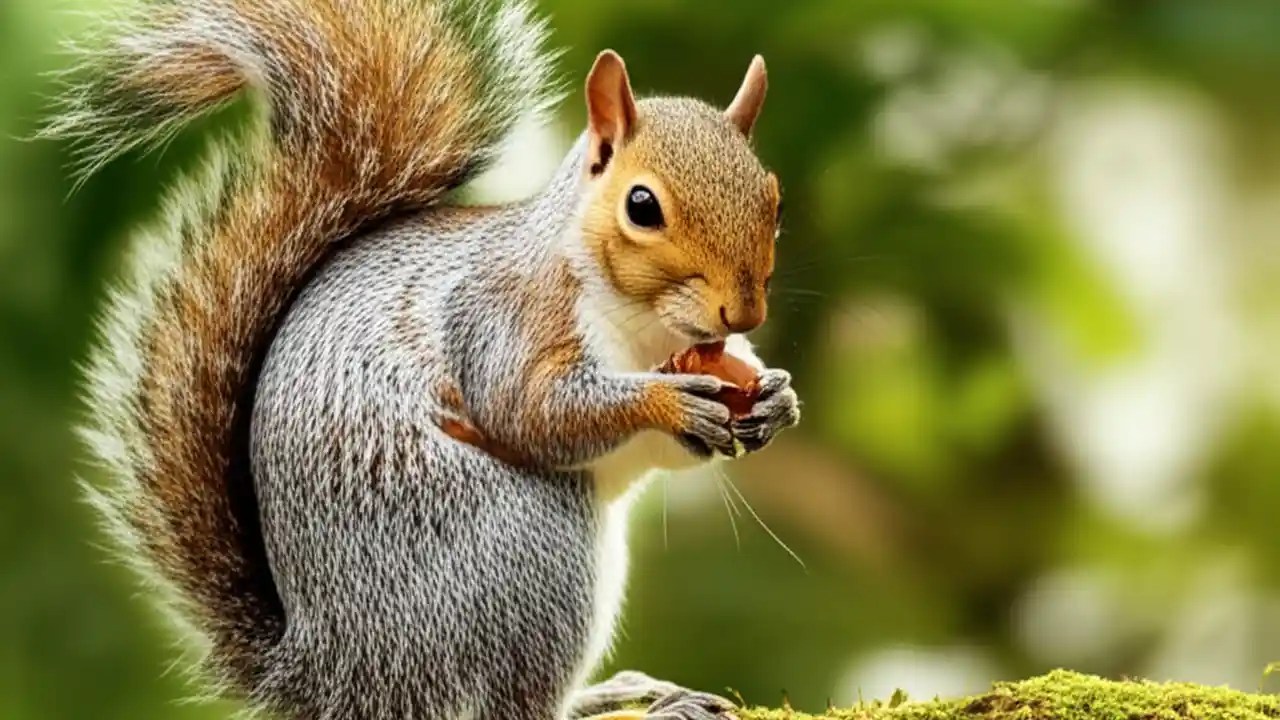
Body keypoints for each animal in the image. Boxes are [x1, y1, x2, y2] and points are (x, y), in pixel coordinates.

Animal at [53, 1, 800, 719]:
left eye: (775, 198)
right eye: (642, 206)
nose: (743, 314)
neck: (649, 328)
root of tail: (329, 675)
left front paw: (775, 399)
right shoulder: (505, 316)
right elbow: (532, 413)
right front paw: (668, 400)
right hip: (527, 546)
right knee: (510, 703)